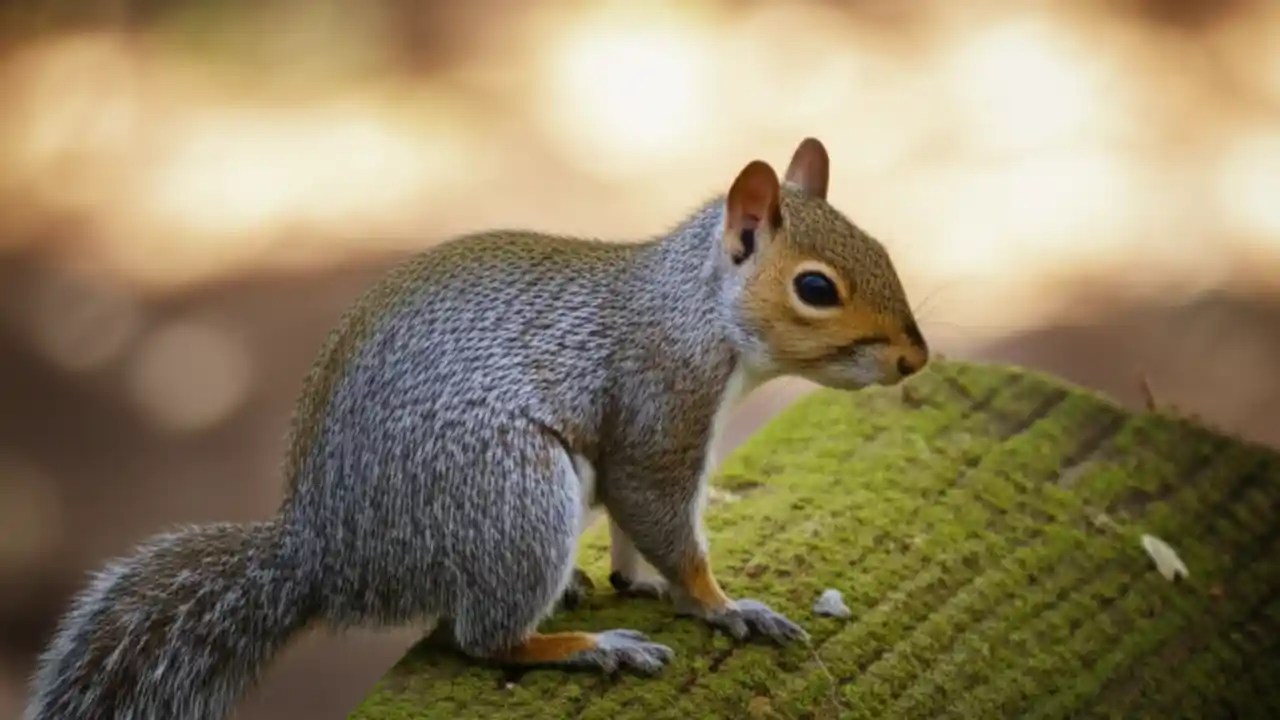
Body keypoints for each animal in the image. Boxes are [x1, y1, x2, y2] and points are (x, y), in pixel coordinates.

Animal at [26, 137, 928, 720]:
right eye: (816, 288)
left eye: (885, 247)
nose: (915, 358)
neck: (697, 309)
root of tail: (326, 554)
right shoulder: (658, 410)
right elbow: (664, 521)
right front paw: (722, 605)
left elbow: (636, 531)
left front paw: (637, 577)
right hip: (512, 492)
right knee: (484, 640)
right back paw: (586, 645)